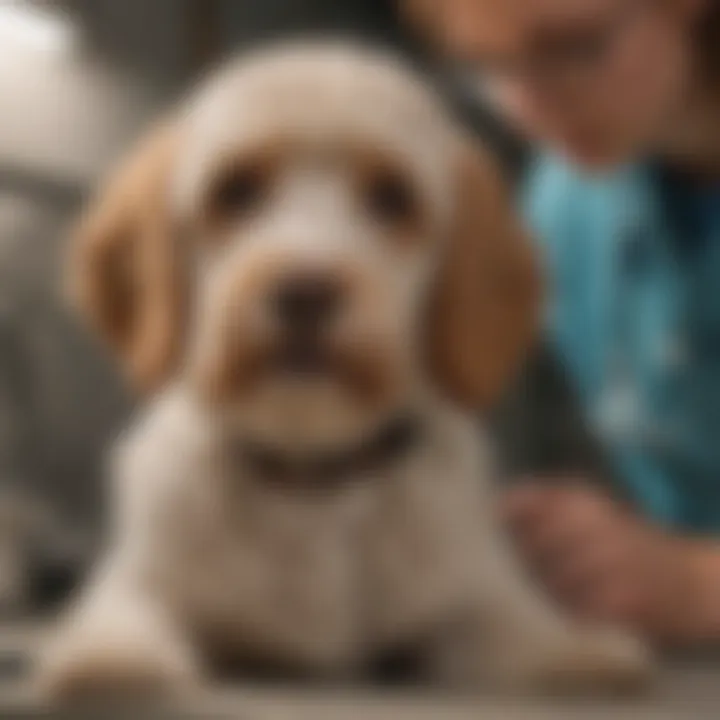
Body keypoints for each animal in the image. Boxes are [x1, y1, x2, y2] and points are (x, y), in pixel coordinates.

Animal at [36, 42, 648, 700]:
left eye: (391, 197)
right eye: (236, 190)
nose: (305, 291)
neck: (314, 482)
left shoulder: (470, 593)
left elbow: (513, 623)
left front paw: (568, 650)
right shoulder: (140, 578)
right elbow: (123, 616)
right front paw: (105, 661)